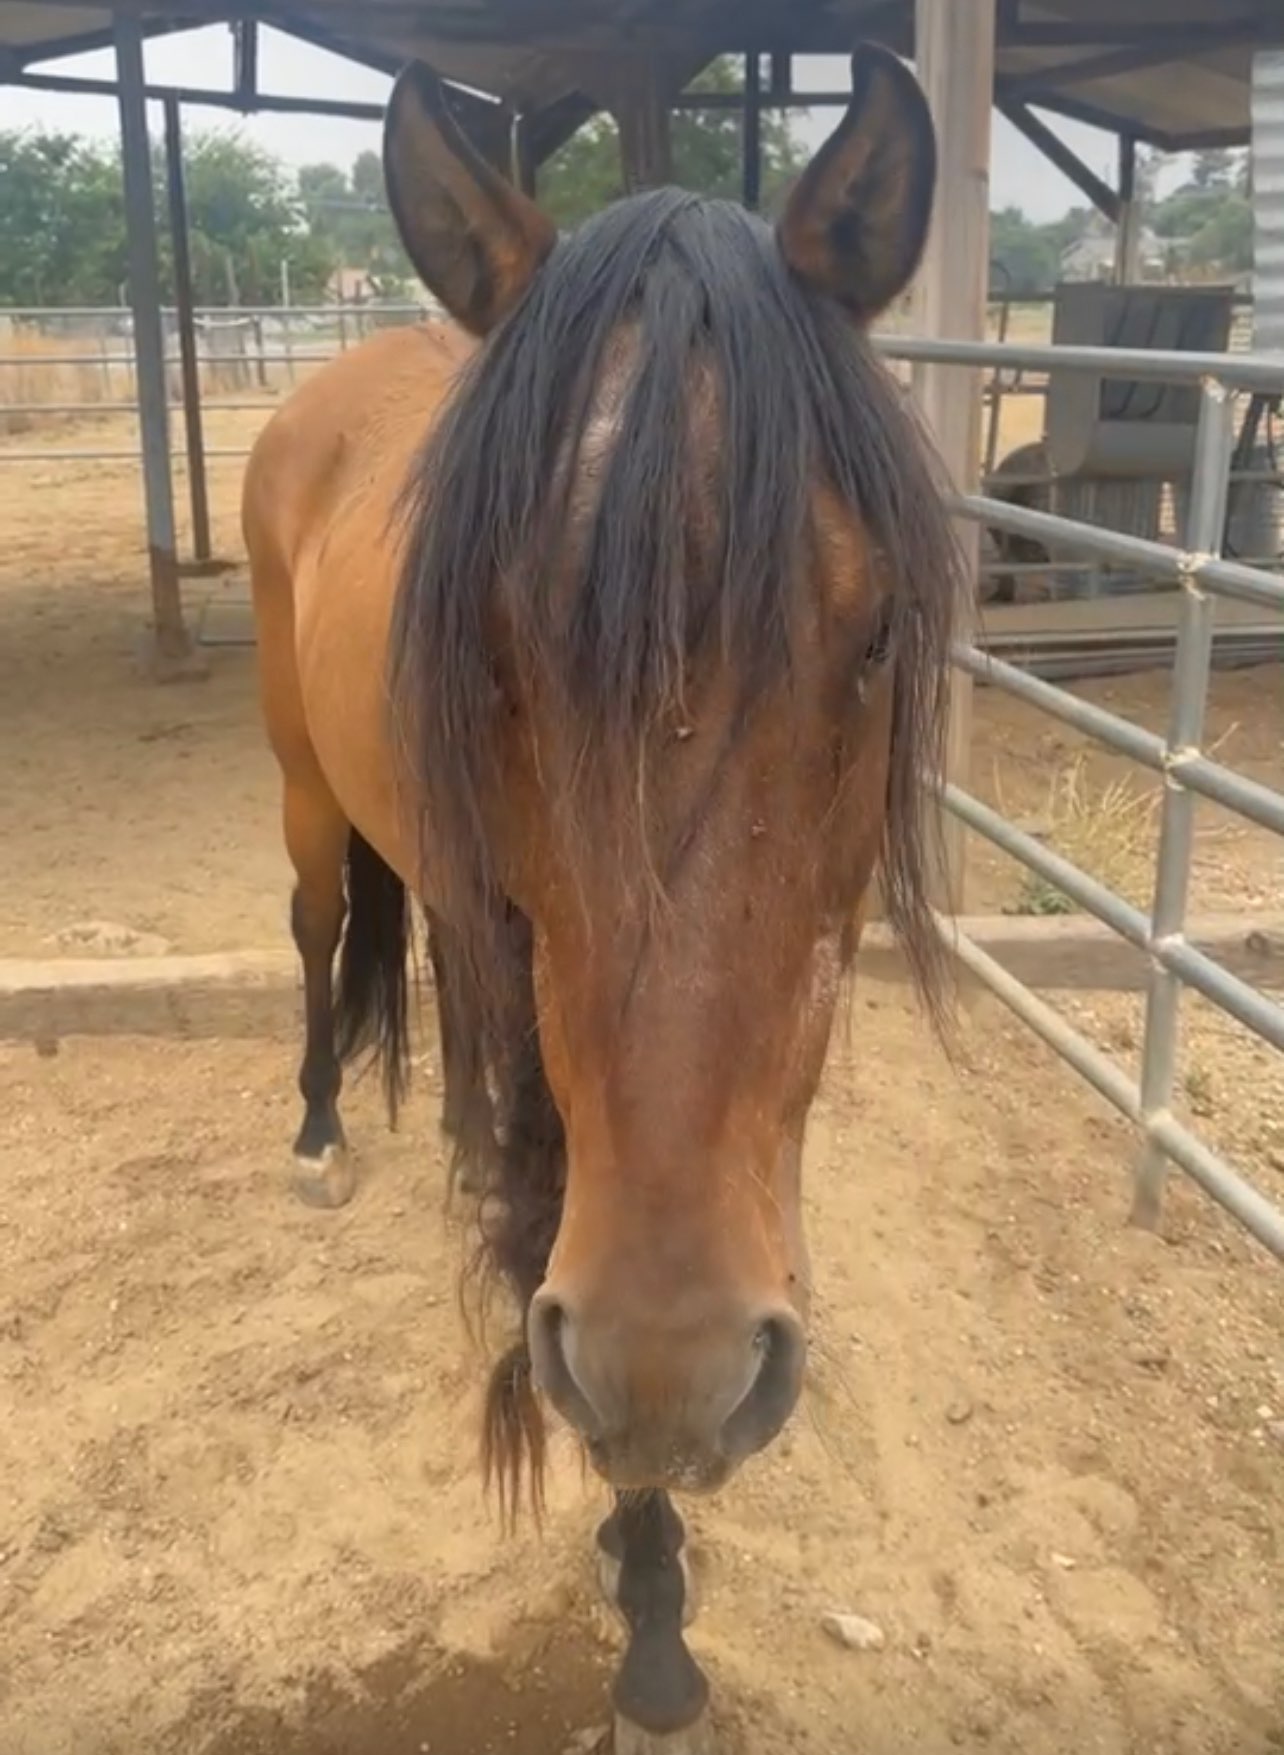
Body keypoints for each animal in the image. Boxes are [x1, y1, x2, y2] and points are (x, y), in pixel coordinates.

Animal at [242, 42, 961, 1745]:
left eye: (875, 636)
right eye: (489, 639)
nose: (672, 1372)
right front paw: (647, 1613)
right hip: (306, 785)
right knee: (320, 931)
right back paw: (318, 1131)